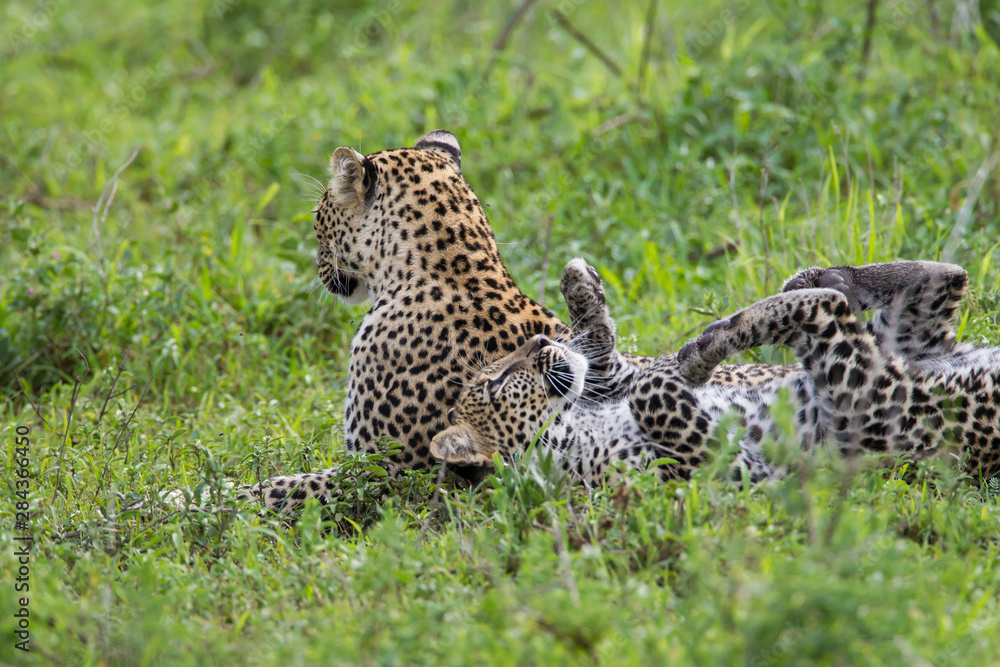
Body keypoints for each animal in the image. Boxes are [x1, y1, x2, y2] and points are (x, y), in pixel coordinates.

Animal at [431, 258, 1000, 485]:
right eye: (496, 382)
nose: (539, 341)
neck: (575, 428)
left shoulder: (608, 381)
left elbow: (608, 362)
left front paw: (581, 286)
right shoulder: (732, 472)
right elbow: (653, 389)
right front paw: (679, 369)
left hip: (909, 345)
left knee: (945, 276)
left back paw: (821, 277)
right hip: (879, 399)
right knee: (830, 312)